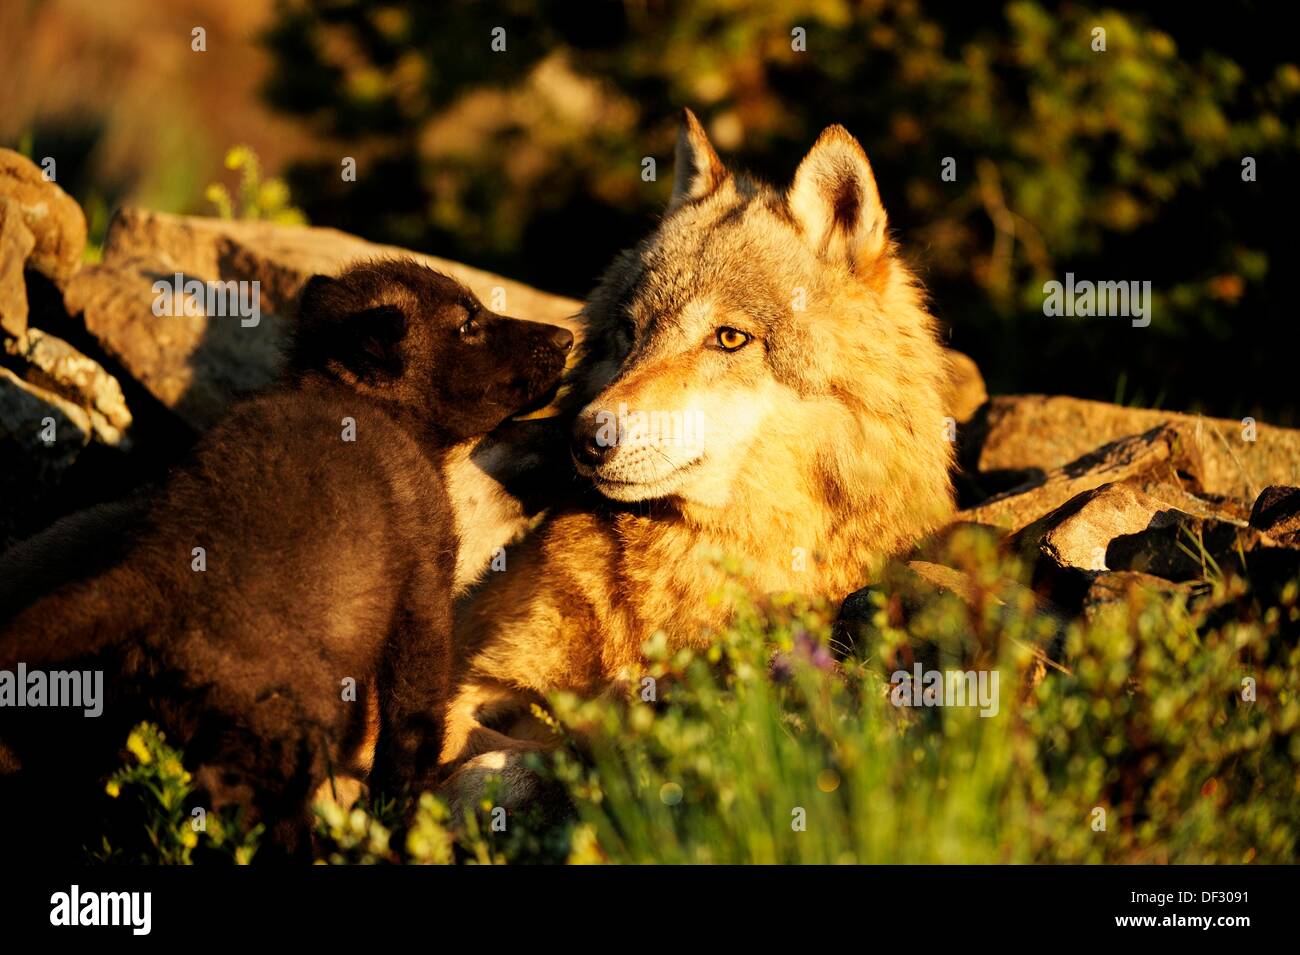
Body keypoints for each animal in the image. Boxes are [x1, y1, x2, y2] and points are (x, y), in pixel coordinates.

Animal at [0, 259, 572, 856]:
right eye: (467, 325)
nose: (566, 337)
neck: (355, 400)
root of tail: (147, 580)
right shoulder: (424, 587)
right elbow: (412, 729)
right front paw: (397, 821)